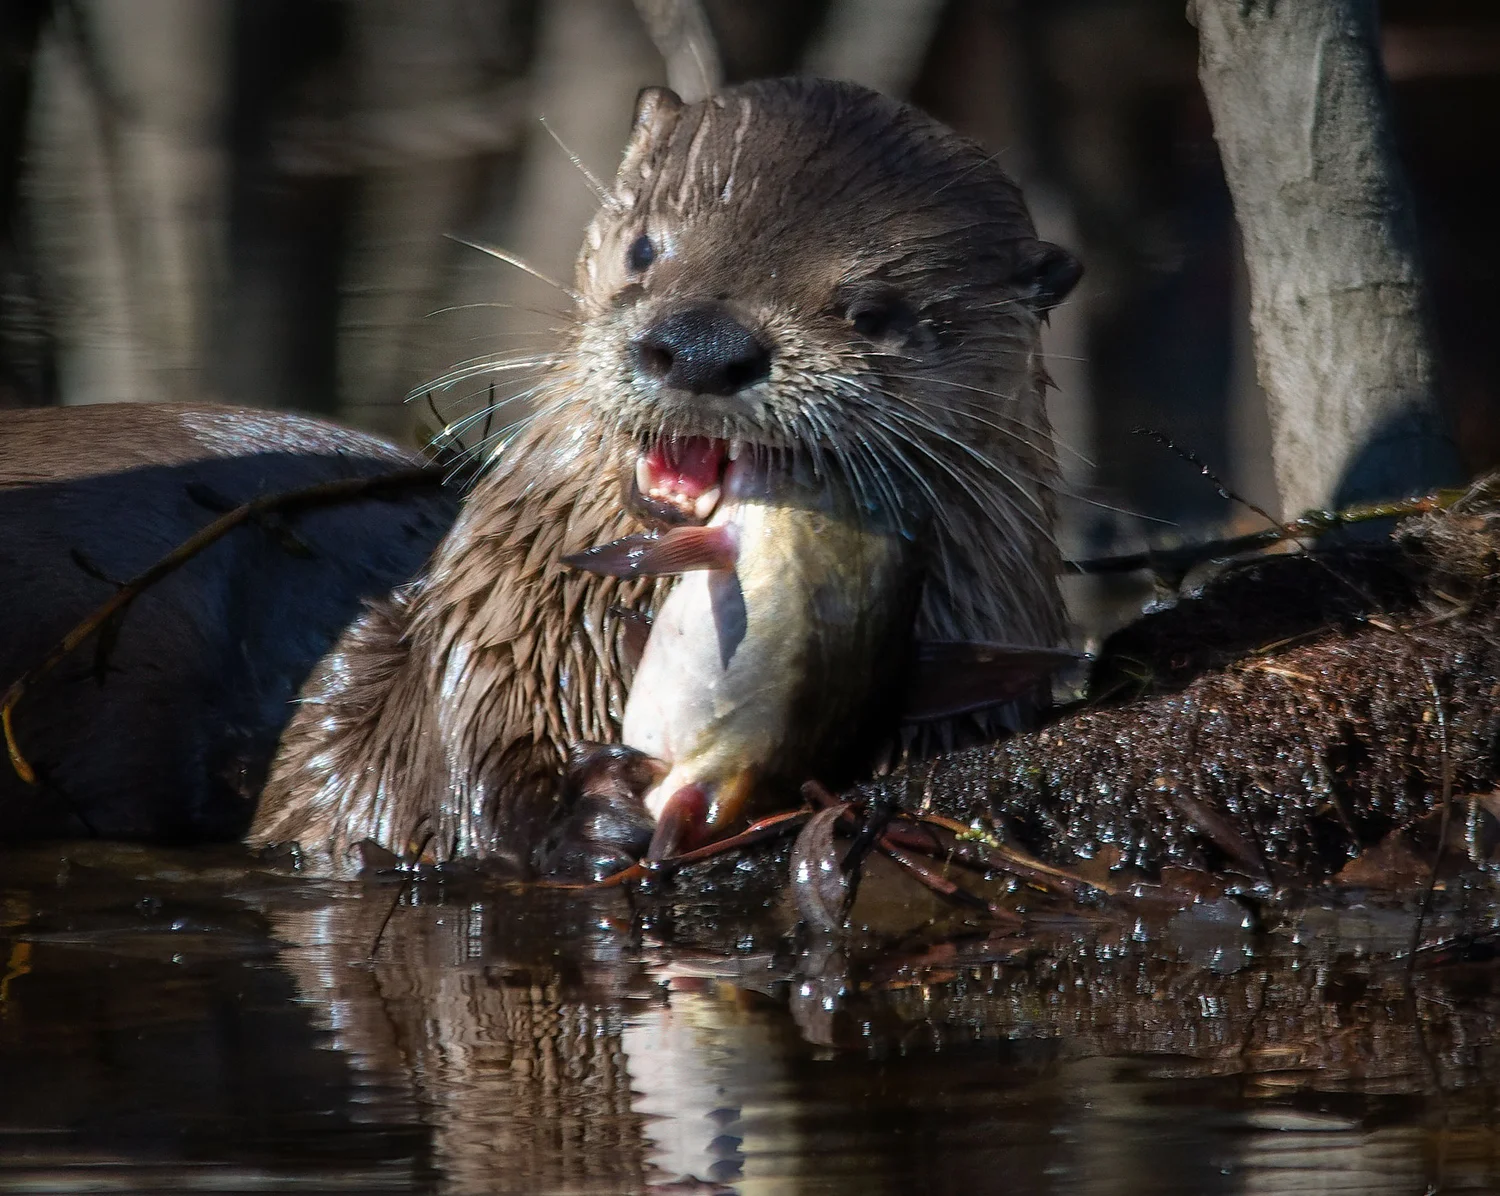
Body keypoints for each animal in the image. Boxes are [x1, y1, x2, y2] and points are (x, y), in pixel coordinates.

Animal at [249, 77, 1080, 874]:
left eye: (871, 312)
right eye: (644, 249)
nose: (703, 347)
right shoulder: (472, 691)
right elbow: (475, 805)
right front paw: (587, 820)